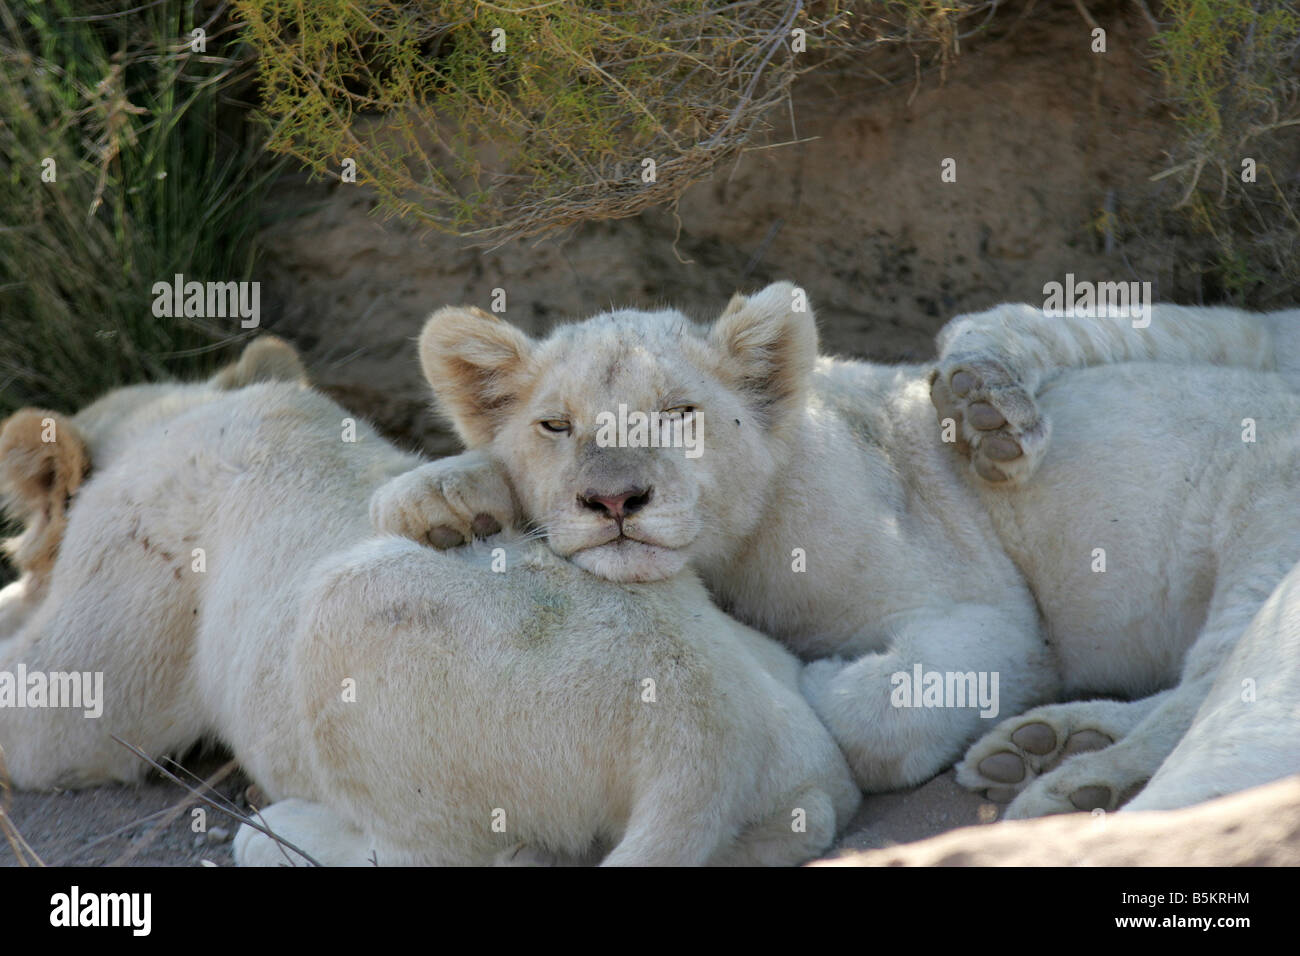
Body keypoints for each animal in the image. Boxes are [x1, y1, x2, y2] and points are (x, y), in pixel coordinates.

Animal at [0, 339, 859, 866]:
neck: (173, 416)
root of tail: (708, 732)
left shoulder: (123, 581)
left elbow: (50, 719)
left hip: (347, 607)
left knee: (452, 854)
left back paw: (274, 830)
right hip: (788, 774)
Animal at [374, 283, 1300, 817]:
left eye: (678, 413)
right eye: (556, 426)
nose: (612, 500)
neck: (734, 554)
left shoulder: (995, 617)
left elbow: (876, 713)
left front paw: (809, 674)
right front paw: (439, 502)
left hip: (1264, 523)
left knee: (1214, 689)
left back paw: (1073, 782)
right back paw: (1045, 747)